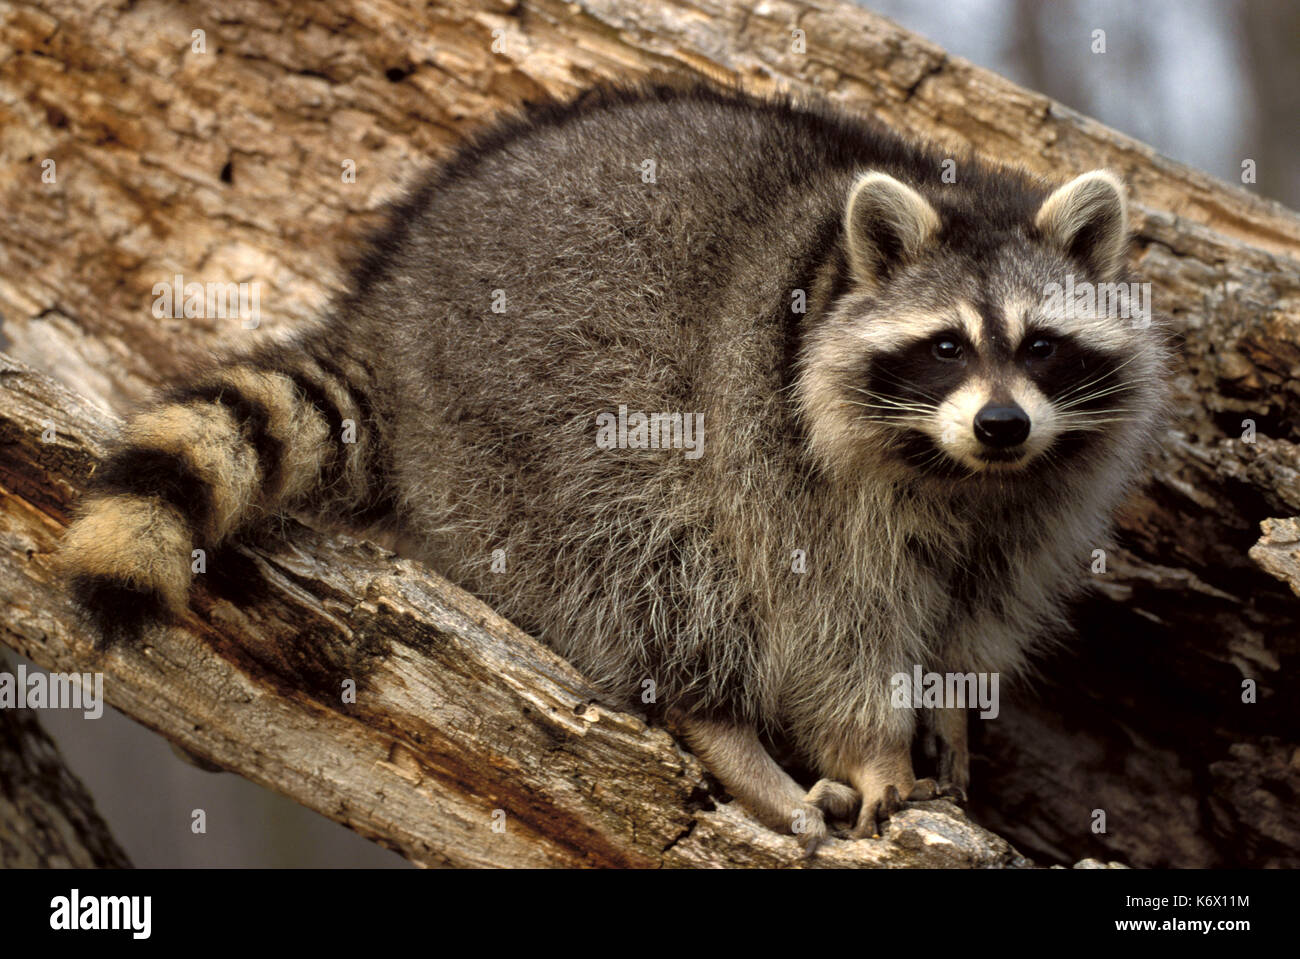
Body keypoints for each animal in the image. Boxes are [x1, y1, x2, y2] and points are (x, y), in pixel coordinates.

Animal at [60, 84, 1169, 853]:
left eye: (1039, 347)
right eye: (946, 345)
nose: (1000, 424)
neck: (954, 470)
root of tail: (388, 312)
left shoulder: (1034, 499)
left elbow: (978, 608)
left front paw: (949, 709)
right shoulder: (785, 462)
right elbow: (826, 620)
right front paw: (873, 743)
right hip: (544, 426)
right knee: (655, 558)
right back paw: (716, 721)